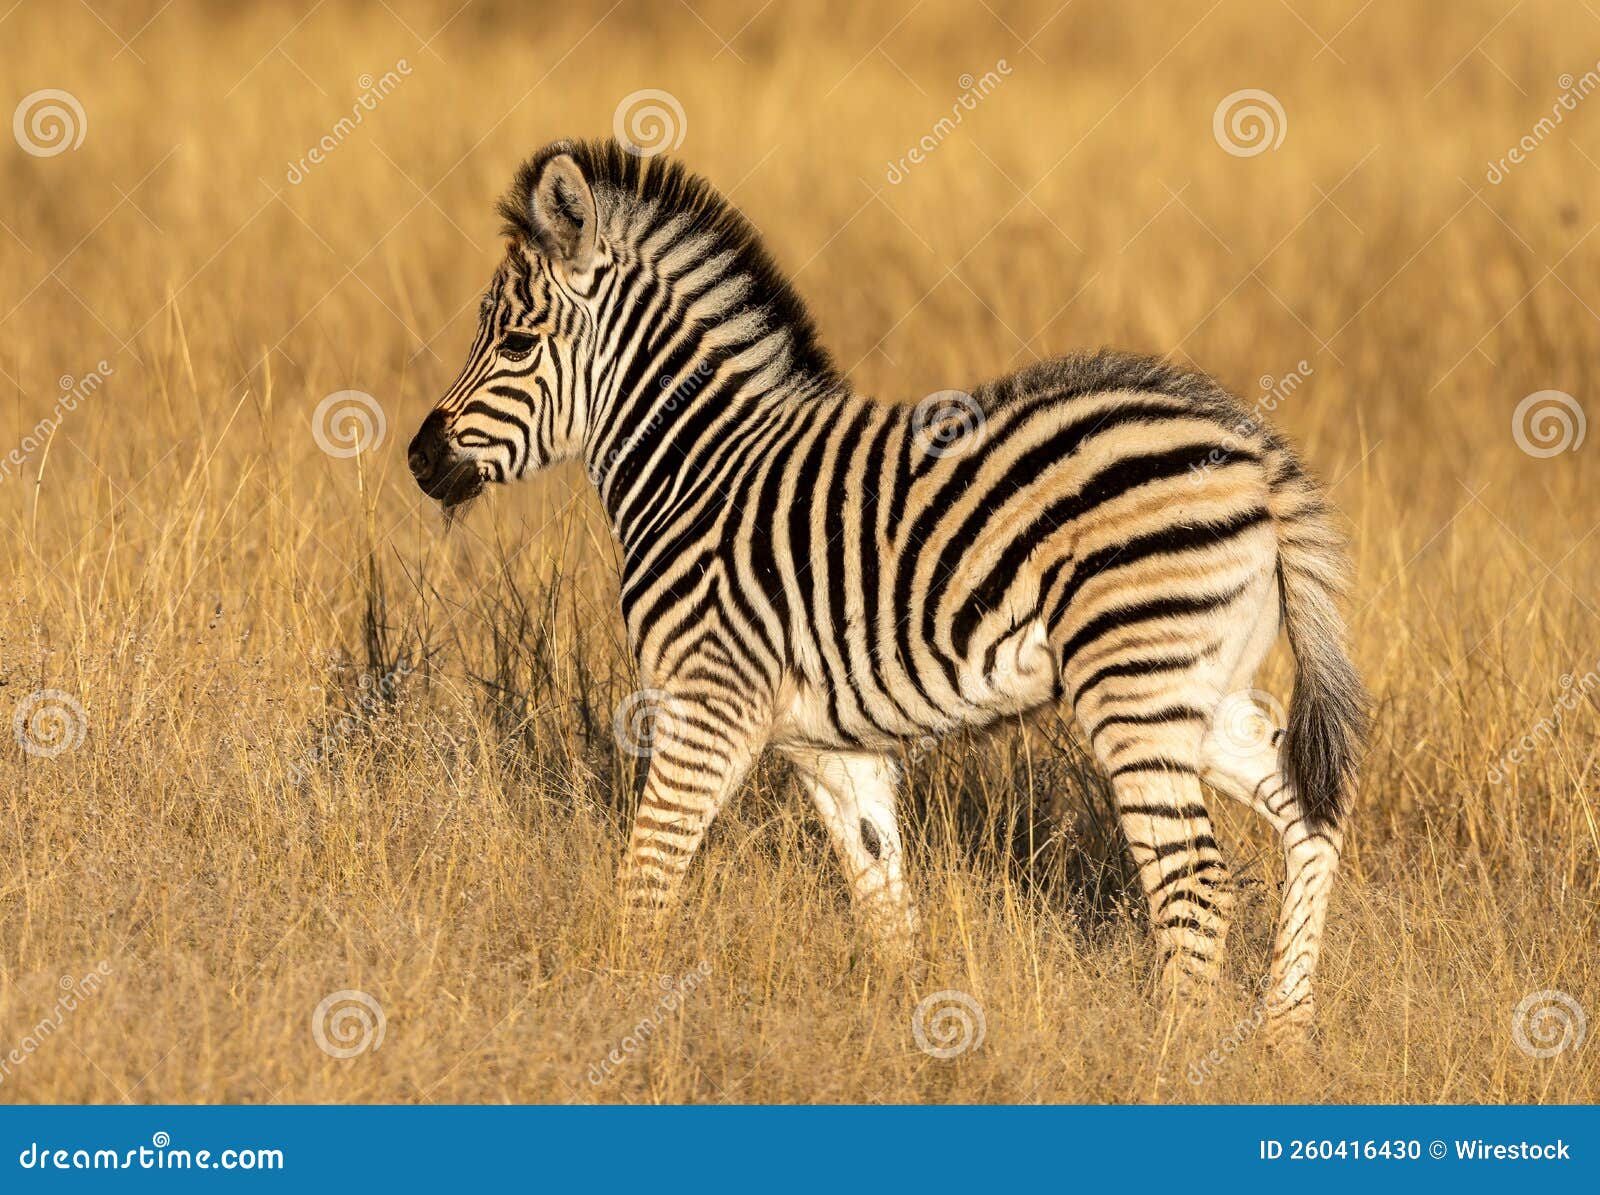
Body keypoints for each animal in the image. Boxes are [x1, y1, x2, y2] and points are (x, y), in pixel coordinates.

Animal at [406, 139, 1368, 1037]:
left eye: (516, 343)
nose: (418, 460)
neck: (698, 467)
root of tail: (1251, 449)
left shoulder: (706, 698)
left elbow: (649, 870)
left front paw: (619, 1006)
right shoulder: (830, 746)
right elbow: (885, 905)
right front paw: (919, 1037)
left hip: (1135, 684)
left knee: (1194, 881)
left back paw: (1171, 1053)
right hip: (1198, 690)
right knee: (1308, 813)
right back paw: (1283, 1029)